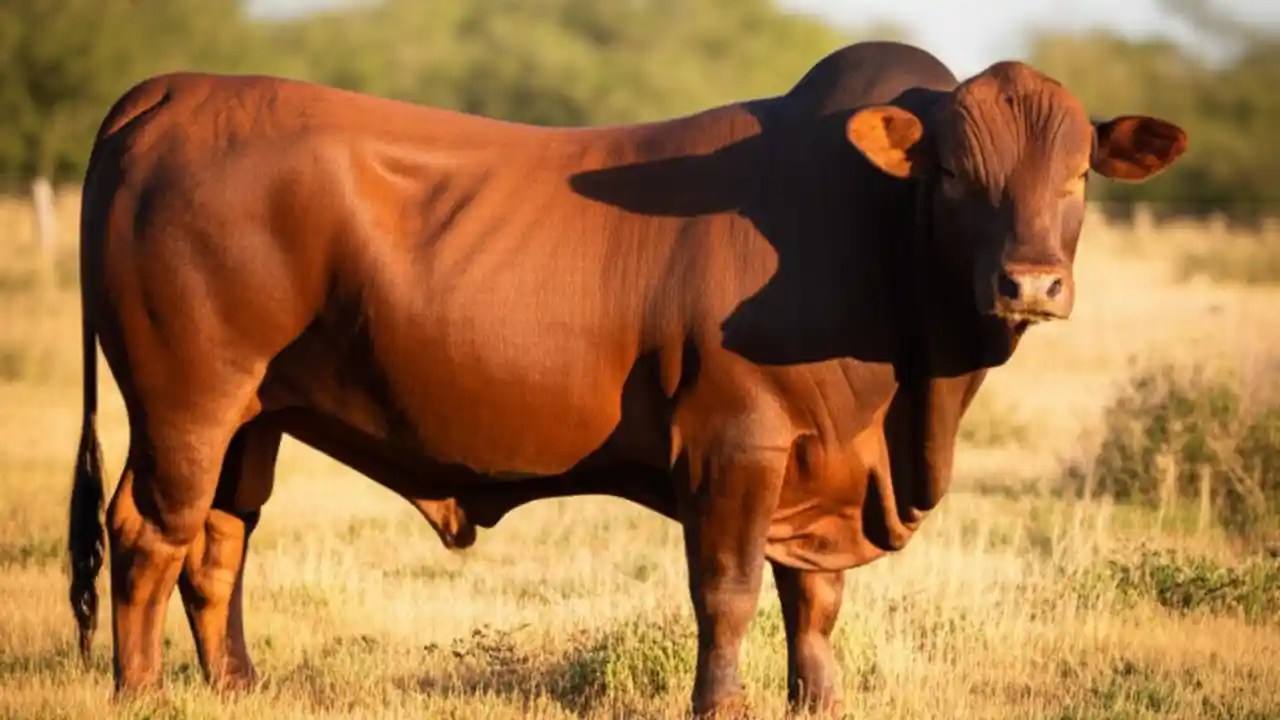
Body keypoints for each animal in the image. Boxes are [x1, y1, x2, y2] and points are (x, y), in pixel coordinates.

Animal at [67, 40, 1185, 716]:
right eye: (952, 174)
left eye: (1077, 177)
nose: (1030, 282)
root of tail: (173, 90)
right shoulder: (736, 441)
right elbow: (727, 590)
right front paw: (721, 703)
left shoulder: (824, 467)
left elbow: (813, 601)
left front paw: (817, 700)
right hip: (186, 398)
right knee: (150, 533)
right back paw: (139, 694)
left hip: (253, 412)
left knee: (219, 539)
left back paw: (238, 688)